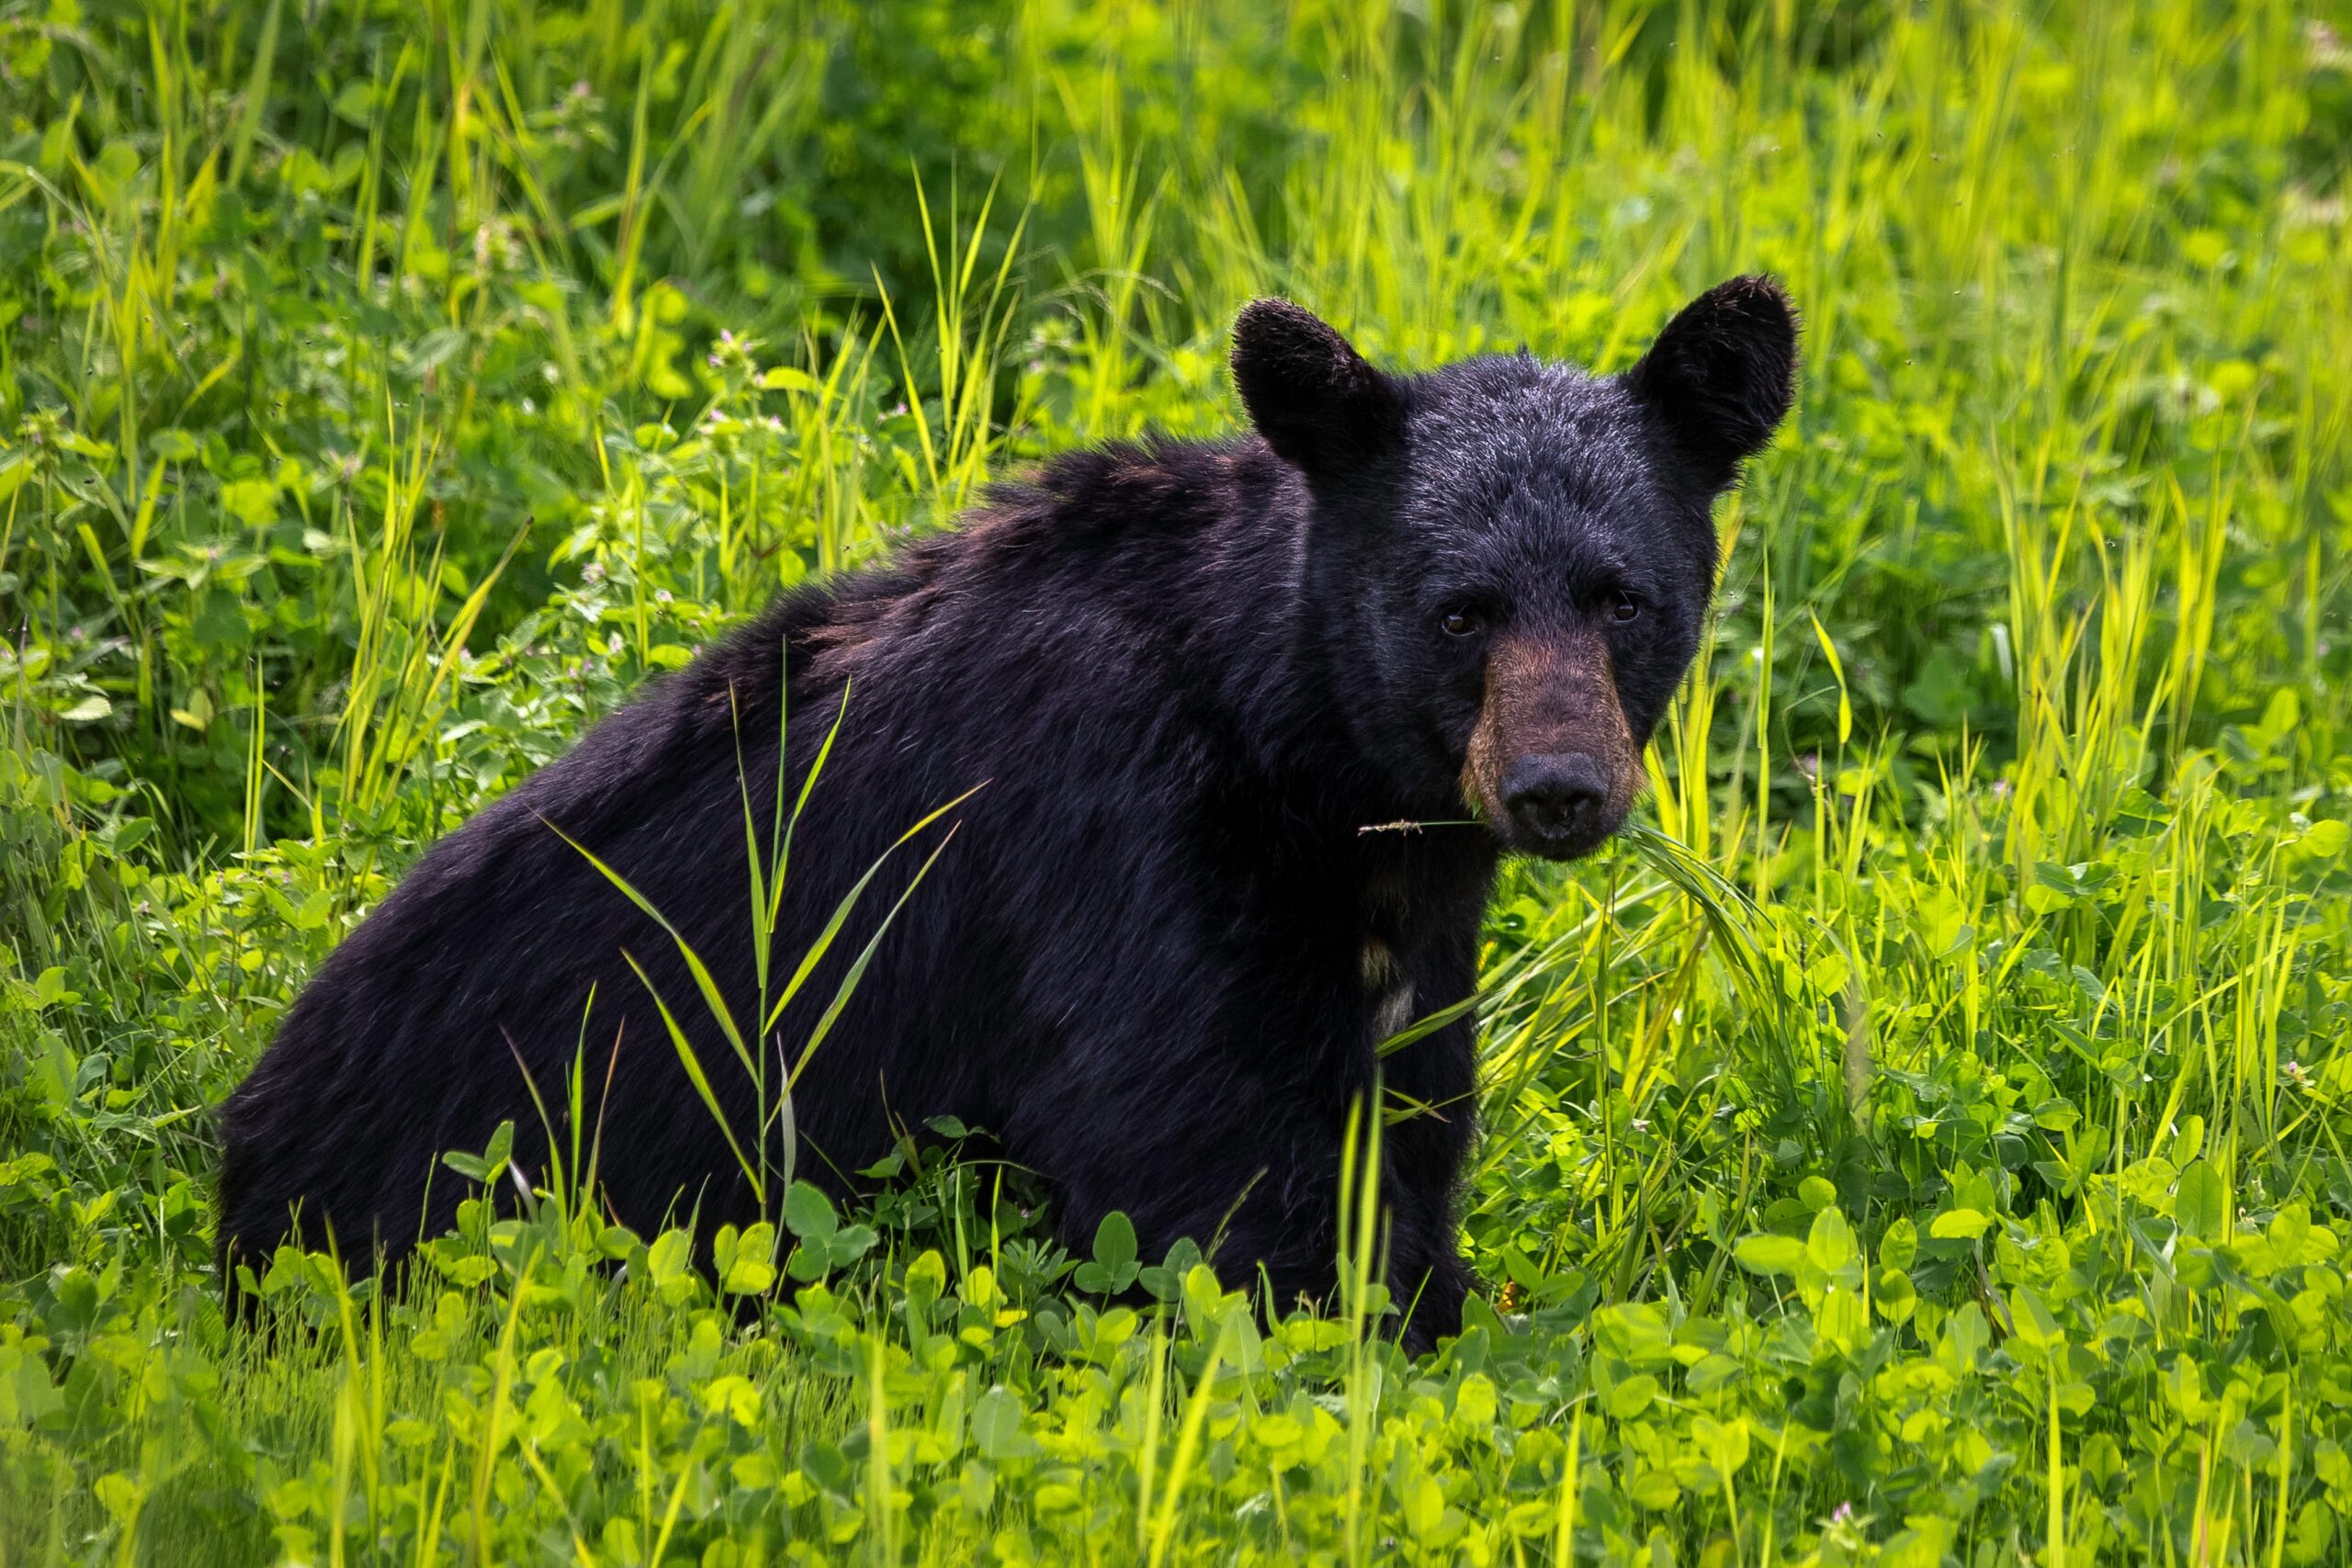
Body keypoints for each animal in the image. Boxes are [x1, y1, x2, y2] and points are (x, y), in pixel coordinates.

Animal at [217, 277, 1797, 1348]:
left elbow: (1402, 1120)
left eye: (1623, 598)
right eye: (1459, 610)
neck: (1304, 761)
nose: (1558, 786)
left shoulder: (1398, 936)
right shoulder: (1122, 845)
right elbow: (1200, 1169)